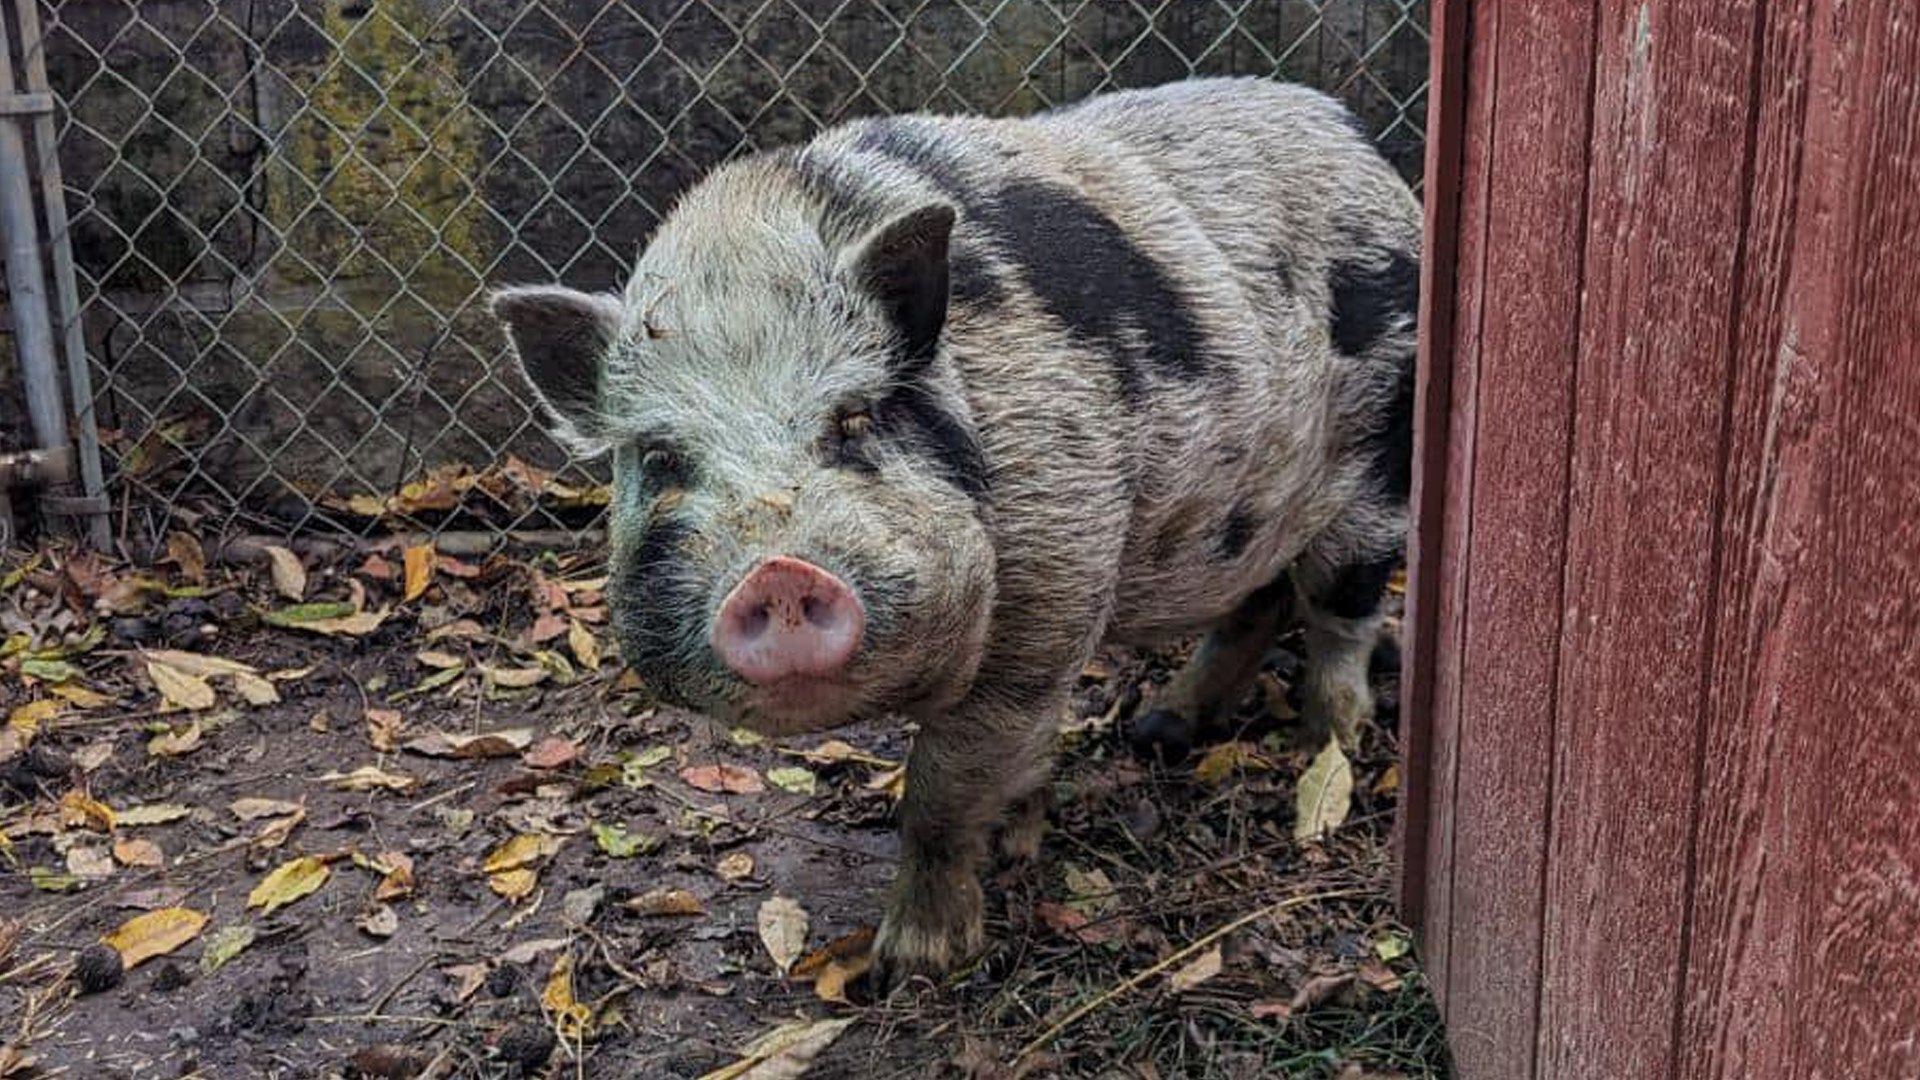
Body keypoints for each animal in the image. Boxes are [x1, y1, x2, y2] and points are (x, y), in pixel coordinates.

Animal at [490, 76, 1420, 985]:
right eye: (659, 456)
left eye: (855, 419)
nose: (780, 575)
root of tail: (1353, 135)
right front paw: (1016, 843)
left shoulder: (1049, 592)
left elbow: (938, 792)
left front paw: (913, 967)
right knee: (1258, 600)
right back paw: (1159, 731)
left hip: (1383, 457)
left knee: (1340, 613)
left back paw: (1323, 744)